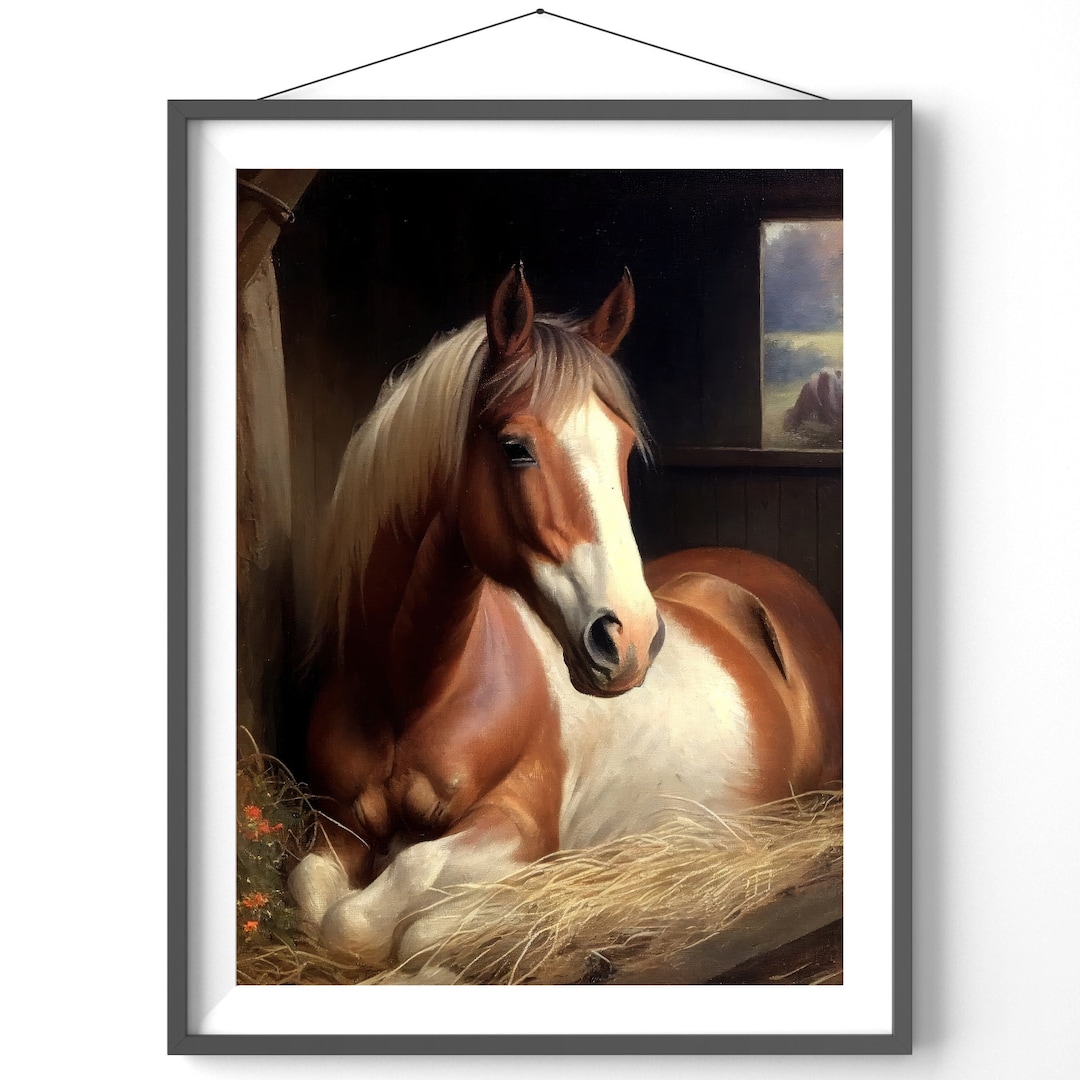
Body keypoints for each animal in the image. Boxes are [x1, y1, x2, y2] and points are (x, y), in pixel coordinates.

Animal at [288, 265, 843, 969]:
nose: (629, 639)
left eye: (624, 448)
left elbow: (383, 907)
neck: (410, 693)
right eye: (515, 448)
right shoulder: (335, 821)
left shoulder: (519, 823)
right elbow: (316, 899)